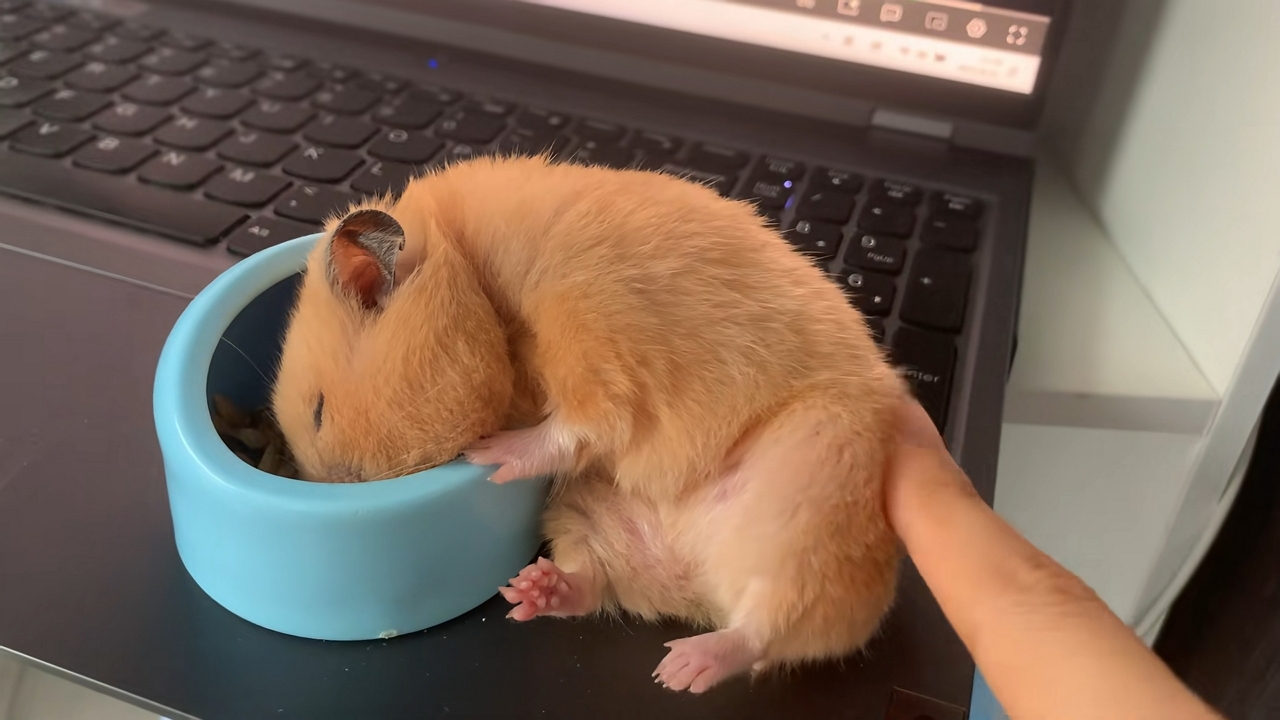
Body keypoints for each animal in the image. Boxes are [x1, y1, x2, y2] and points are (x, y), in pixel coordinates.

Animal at [271, 155, 907, 693]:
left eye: (321, 410)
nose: (336, 489)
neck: (473, 268)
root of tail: (695, 585)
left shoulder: (594, 332)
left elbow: (581, 424)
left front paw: (491, 454)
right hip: (584, 510)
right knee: (598, 584)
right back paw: (531, 592)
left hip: (810, 487)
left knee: (768, 625)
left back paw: (682, 670)